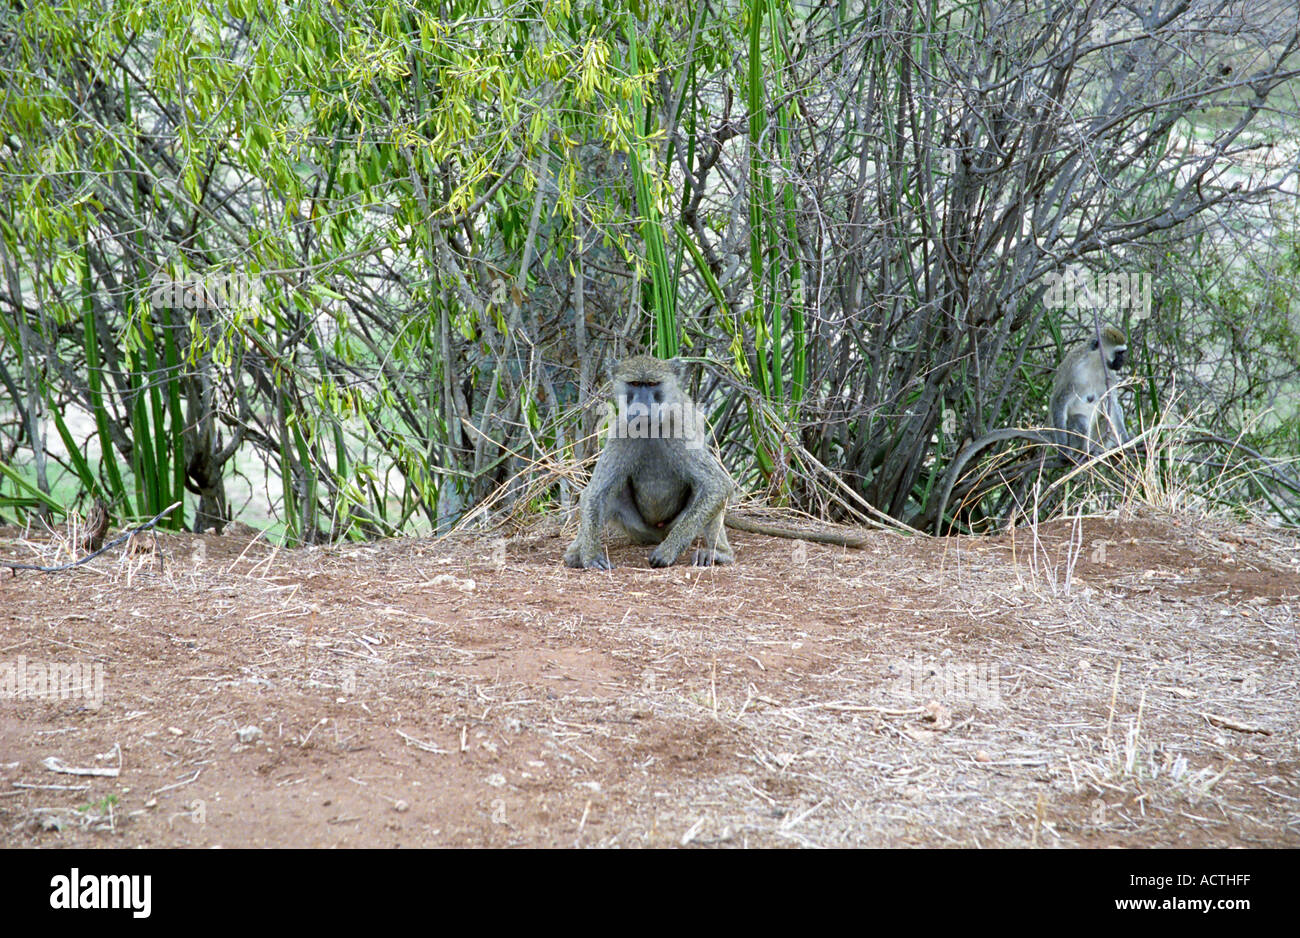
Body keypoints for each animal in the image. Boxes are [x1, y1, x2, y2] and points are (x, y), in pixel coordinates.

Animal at [564, 355, 735, 569]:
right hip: (636, 528)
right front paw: (591, 556)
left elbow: (718, 485)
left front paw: (667, 552)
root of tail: (658, 533)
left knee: (704, 489)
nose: (643, 405)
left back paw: (719, 554)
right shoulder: (621, 430)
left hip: (672, 524)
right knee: (610, 491)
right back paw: (574, 556)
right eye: (635, 384)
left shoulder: (677, 428)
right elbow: (594, 493)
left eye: (653, 384)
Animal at [1049, 324, 1130, 458]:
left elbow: (1112, 404)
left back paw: (1098, 450)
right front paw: (1063, 449)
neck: (1095, 363)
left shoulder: (1109, 375)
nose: (1123, 361)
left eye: (1123, 353)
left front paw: (1127, 440)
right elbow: (1059, 401)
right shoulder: (1074, 371)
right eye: (1119, 353)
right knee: (1080, 420)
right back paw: (1081, 452)